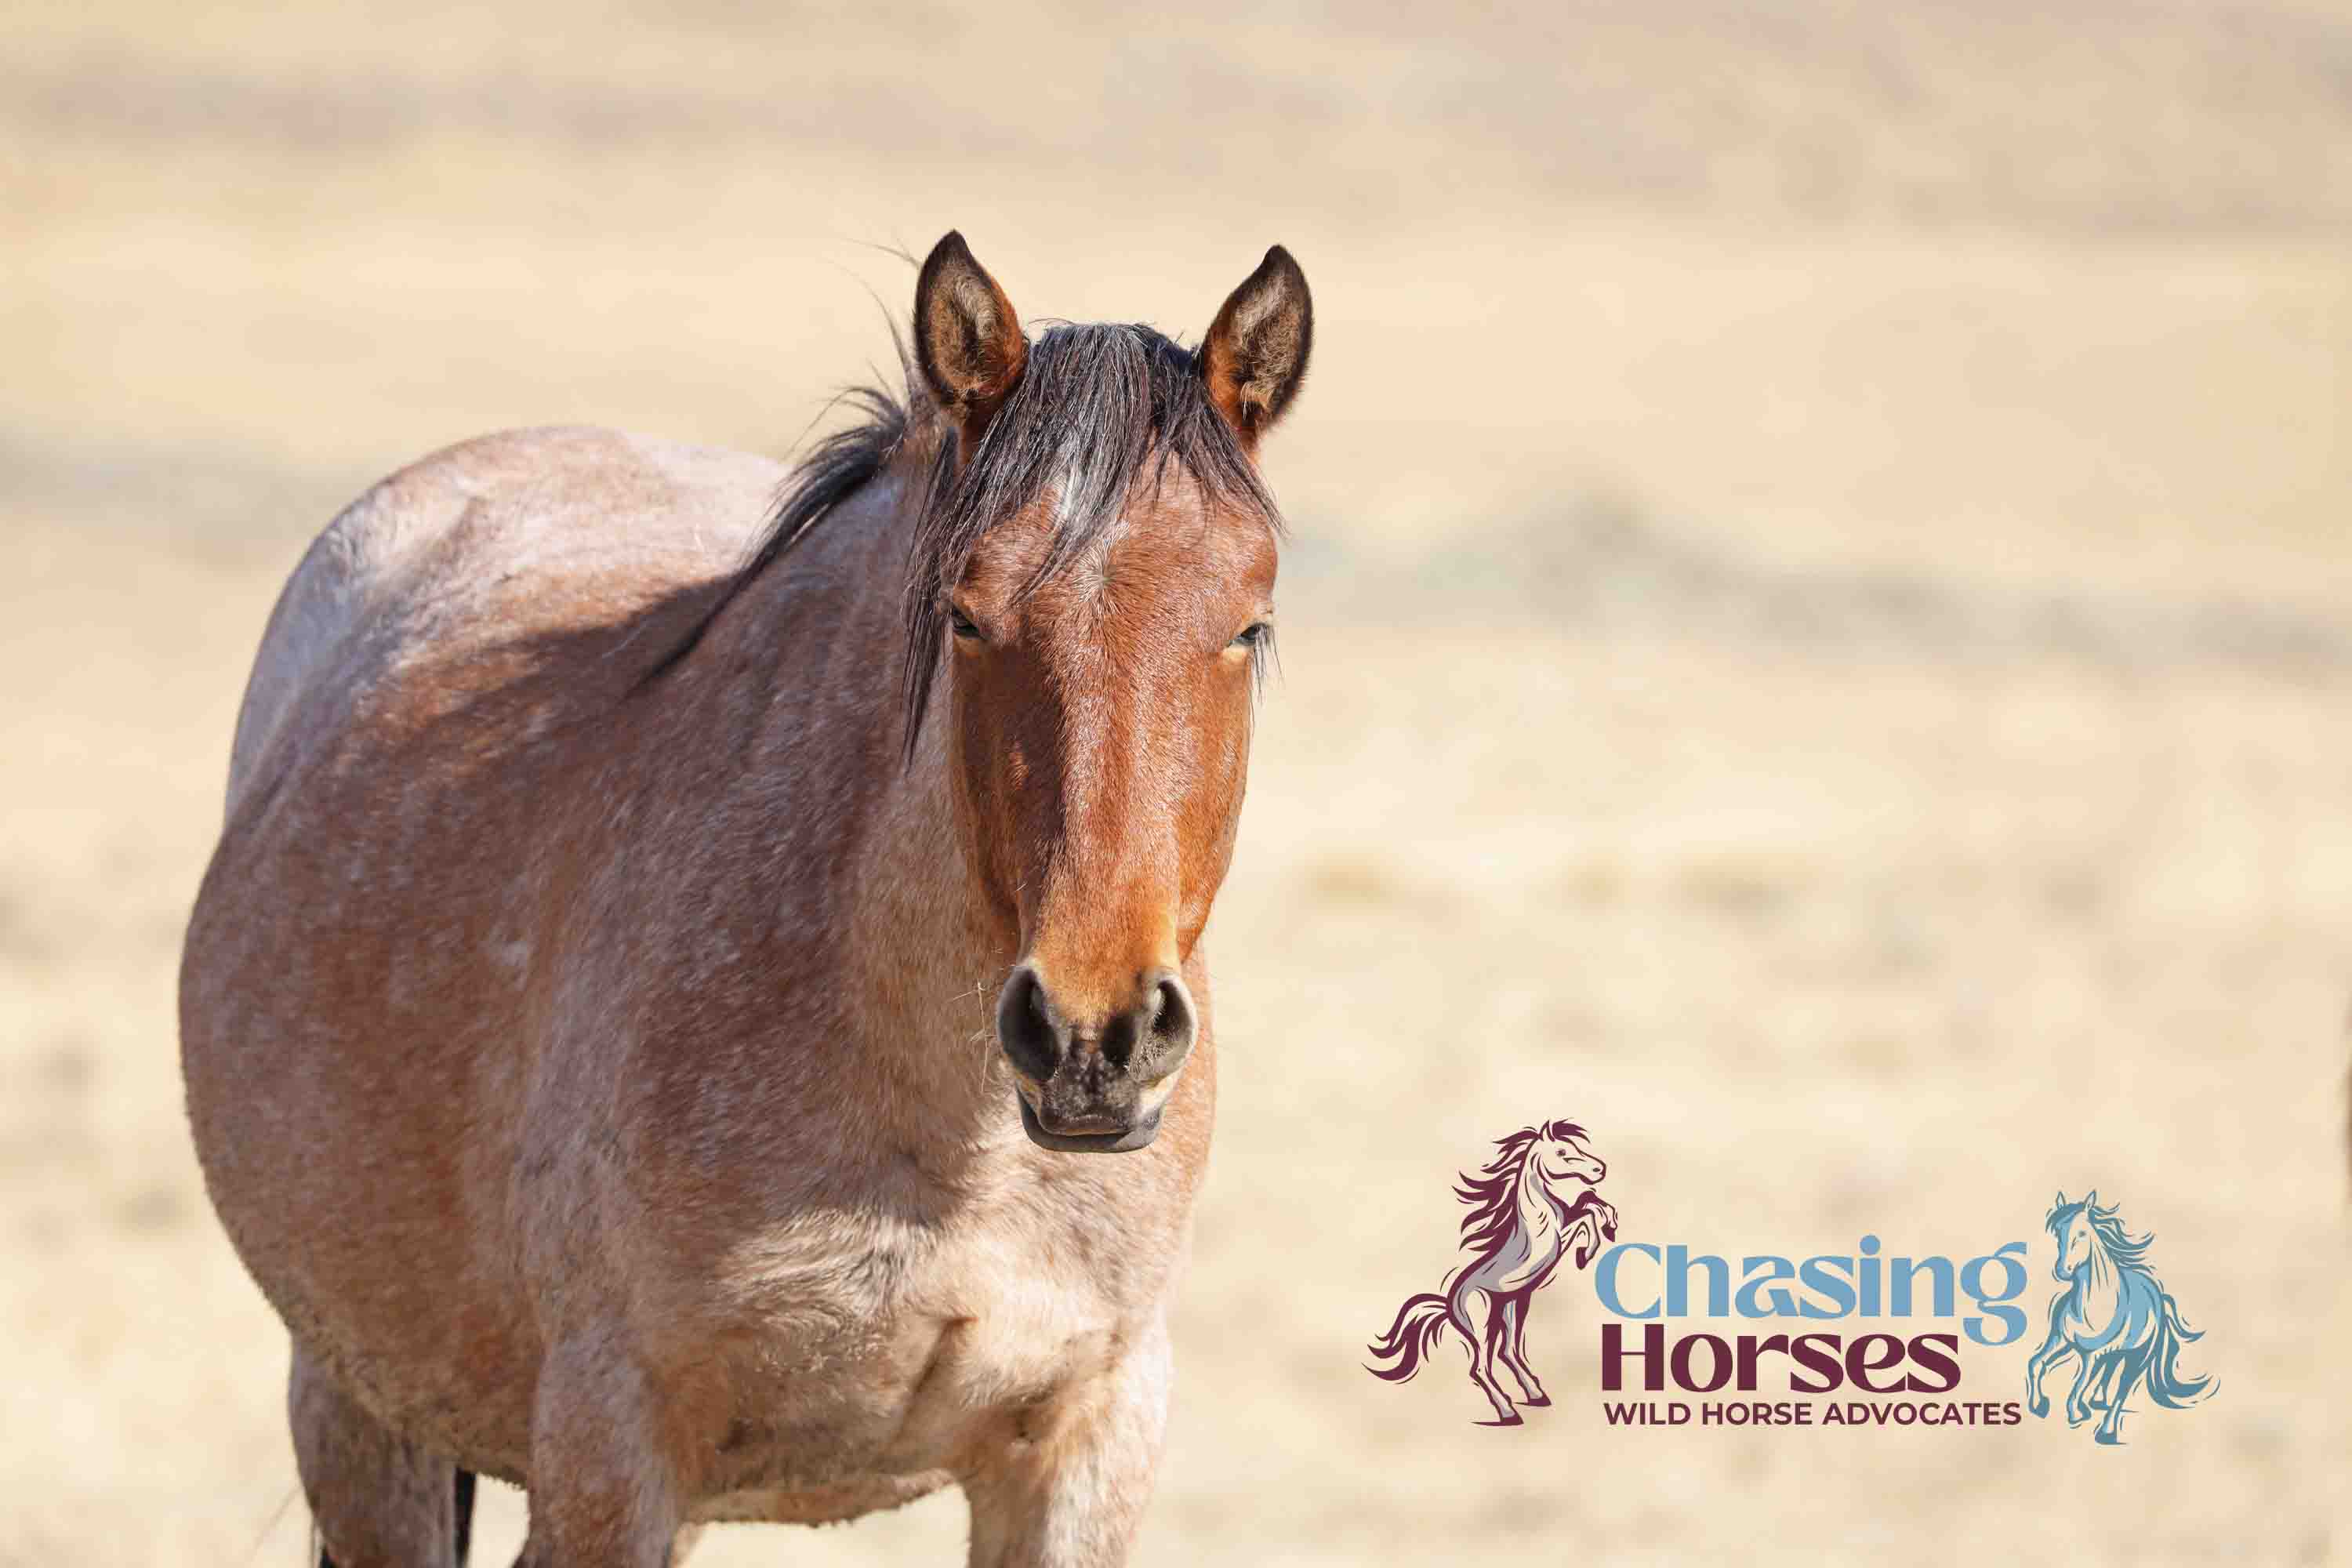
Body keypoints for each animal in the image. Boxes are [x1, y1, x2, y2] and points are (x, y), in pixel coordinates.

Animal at [178, 232, 1312, 1567]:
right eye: (966, 616)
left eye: (1250, 625)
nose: (1094, 1039)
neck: (947, 1144)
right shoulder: (612, 1460)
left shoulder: (1085, 1448)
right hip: (359, 1417)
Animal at [1365, 1121, 1617, 1426]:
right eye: (1561, 1151)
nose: (1600, 1169)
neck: (1540, 1215)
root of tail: (1449, 1305)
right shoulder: (1558, 1240)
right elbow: (1586, 1216)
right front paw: (1586, 1254)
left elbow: (1590, 1202)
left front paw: (1610, 1227)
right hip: (1483, 1324)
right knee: (1481, 1367)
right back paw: (1509, 1413)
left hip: (1510, 1308)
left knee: (1506, 1352)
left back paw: (1536, 1395)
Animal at [2023, 1191, 2213, 1445]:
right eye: (2057, 1232)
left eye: (2082, 1233)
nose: (2062, 1271)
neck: (2091, 1303)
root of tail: (2158, 1294)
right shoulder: (2061, 1340)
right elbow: (2036, 1364)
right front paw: (2039, 1405)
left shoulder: (2091, 1354)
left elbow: (2077, 1386)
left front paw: (2074, 1413)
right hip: (2113, 1351)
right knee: (2108, 1370)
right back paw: (2094, 1402)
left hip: (2137, 1358)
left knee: (2122, 1388)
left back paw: (2106, 1430)